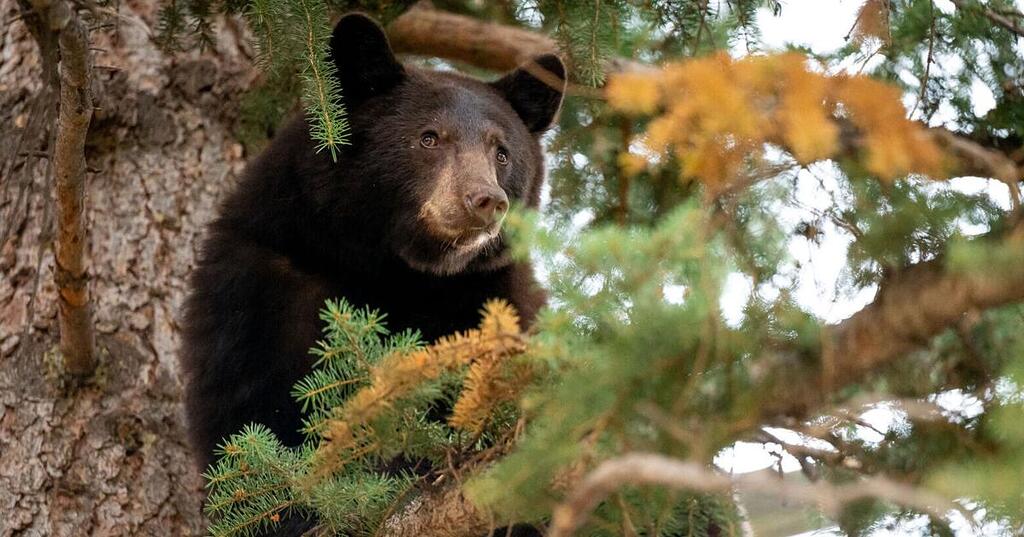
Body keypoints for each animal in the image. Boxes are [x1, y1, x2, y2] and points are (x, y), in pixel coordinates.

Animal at [179, 12, 565, 534]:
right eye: (429, 137)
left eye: (501, 152)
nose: (486, 200)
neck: (393, 270)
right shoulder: (262, 281)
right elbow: (251, 416)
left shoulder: (490, 301)